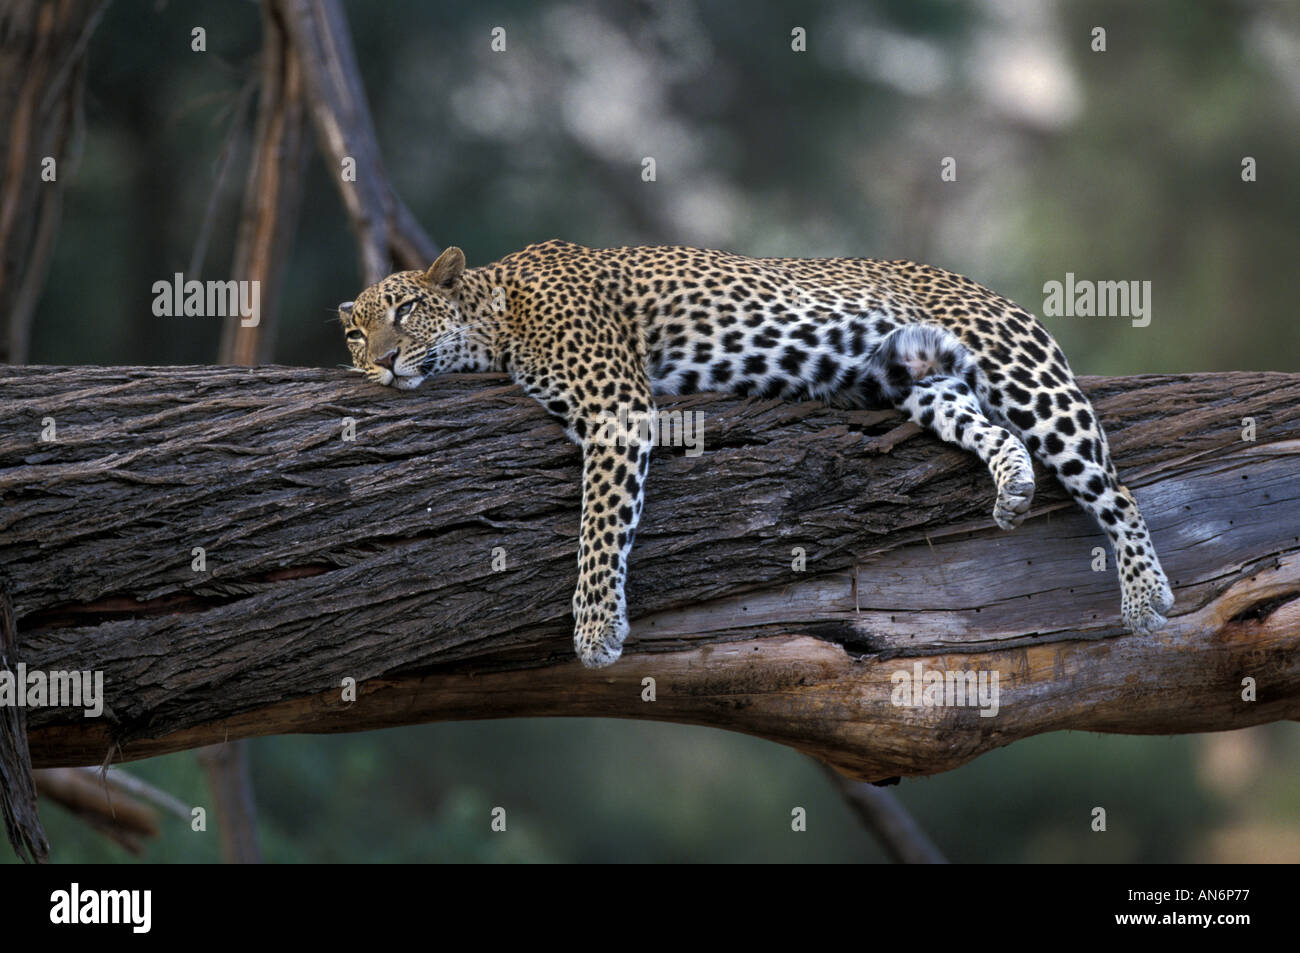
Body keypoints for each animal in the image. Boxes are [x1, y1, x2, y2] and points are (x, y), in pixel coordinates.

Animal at [339, 239, 1175, 668]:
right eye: (354, 331)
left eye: (405, 310)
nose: (379, 361)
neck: (496, 311)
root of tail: (981, 284)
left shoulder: (616, 408)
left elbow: (599, 524)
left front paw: (596, 626)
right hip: (925, 382)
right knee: (995, 431)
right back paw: (1013, 489)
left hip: (1018, 369)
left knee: (1113, 484)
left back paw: (1144, 594)